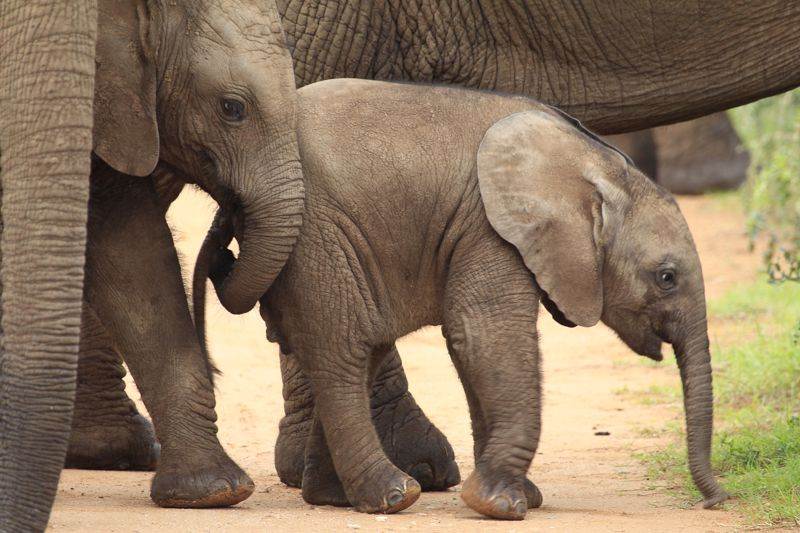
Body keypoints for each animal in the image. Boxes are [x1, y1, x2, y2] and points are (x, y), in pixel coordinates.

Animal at [193, 79, 728, 519]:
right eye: (666, 277)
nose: (716, 500)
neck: (598, 167)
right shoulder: (488, 227)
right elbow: (483, 335)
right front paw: (500, 505)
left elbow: (477, 350)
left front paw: (520, 495)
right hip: (316, 235)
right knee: (344, 349)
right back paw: (393, 496)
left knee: (360, 348)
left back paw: (336, 498)